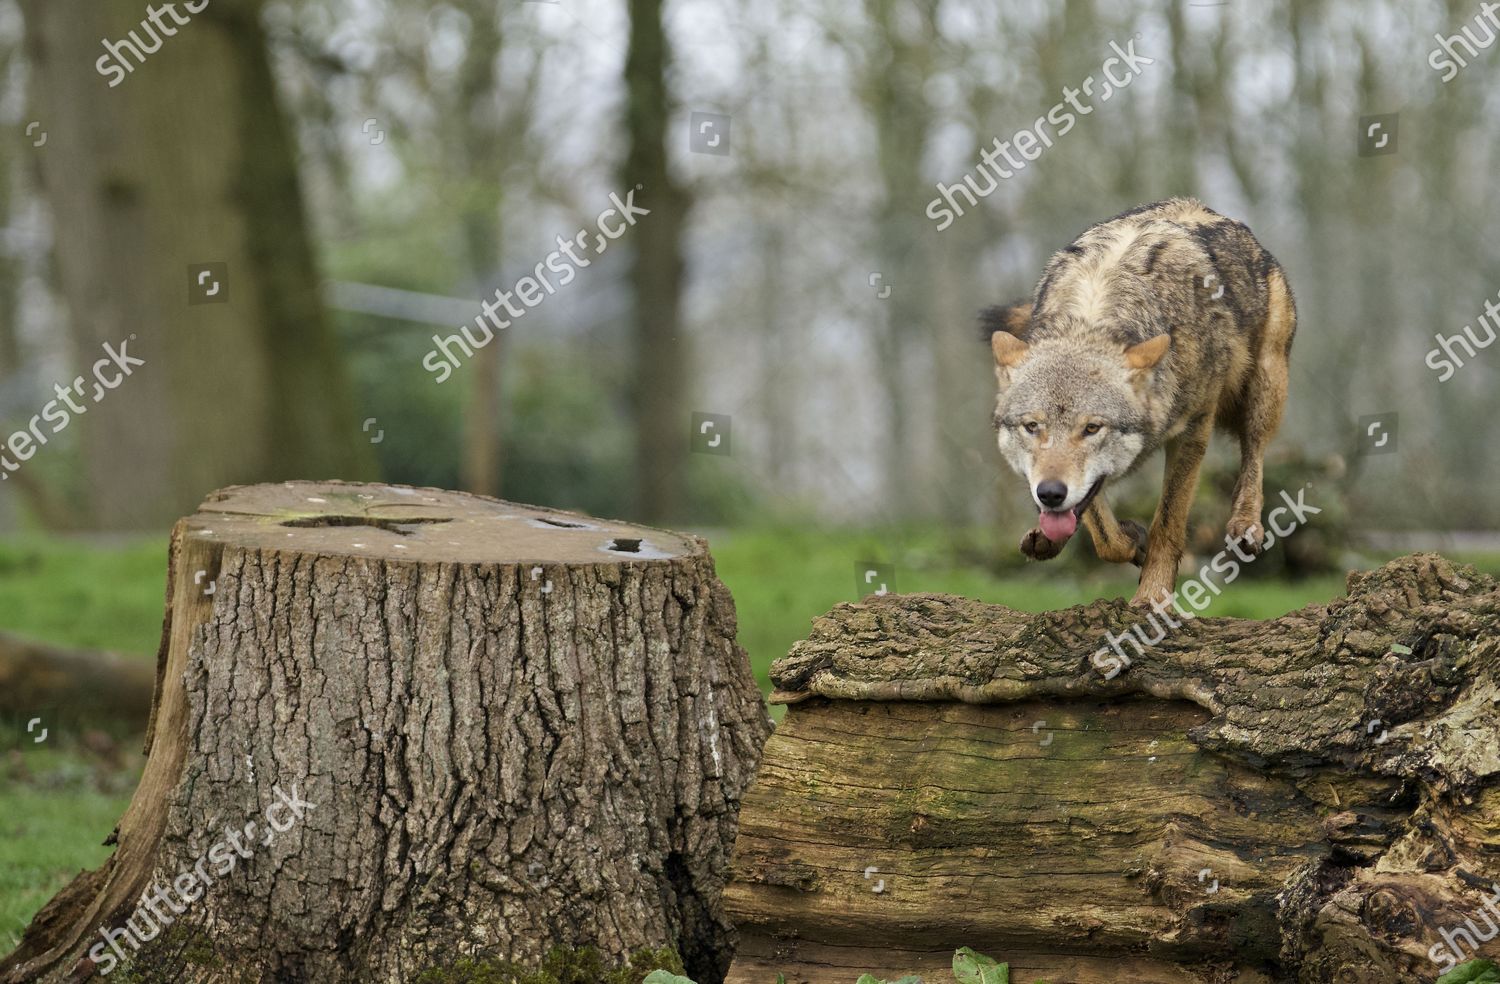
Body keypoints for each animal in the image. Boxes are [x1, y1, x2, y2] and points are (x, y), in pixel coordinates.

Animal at [982, 198, 1297, 607]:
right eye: (1032, 427)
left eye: (1092, 428)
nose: (1049, 494)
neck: (1094, 316)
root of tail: (1207, 209)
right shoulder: (1088, 486)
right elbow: (1105, 537)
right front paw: (1131, 540)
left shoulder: (1193, 429)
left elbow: (1168, 526)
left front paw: (1152, 599)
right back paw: (1045, 541)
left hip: (1265, 385)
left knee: (1254, 453)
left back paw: (1246, 525)